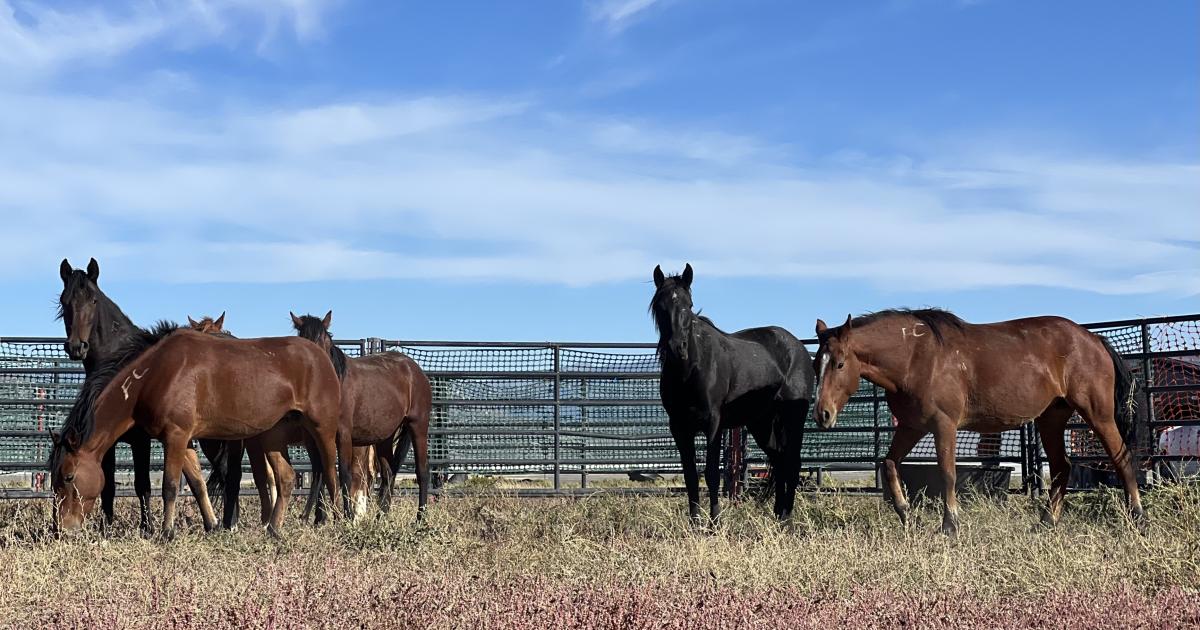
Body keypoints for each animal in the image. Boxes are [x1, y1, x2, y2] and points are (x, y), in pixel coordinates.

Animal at [48, 325, 348, 538]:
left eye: (68, 476)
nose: (62, 530)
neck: (153, 375)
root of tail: (321, 356)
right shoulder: (186, 440)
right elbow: (196, 483)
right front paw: (212, 525)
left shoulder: (176, 437)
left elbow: (170, 486)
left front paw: (167, 533)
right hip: (272, 436)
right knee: (286, 477)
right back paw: (273, 529)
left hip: (321, 429)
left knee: (330, 474)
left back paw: (335, 522)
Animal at [290, 311, 432, 522]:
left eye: (325, 341)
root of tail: (414, 369)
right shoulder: (314, 439)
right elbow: (320, 473)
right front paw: (316, 519)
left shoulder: (343, 435)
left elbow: (344, 474)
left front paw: (346, 516)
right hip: (384, 436)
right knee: (388, 473)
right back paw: (380, 518)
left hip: (418, 426)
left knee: (422, 471)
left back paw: (420, 519)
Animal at [650, 264, 815, 524]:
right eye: (659, 306)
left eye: (688, 304)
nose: (677, 348)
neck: (692, 368)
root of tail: (799, 348)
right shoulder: (679, 427)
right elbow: (690, 476)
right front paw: (694, 524)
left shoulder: (714, 424)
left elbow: (711, 474)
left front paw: (715, 523)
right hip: (762, 422)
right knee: (779, 460)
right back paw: (778, 516)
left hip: (793, 418)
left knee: (792, 464)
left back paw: (787, 519)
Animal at [812, 308, 1143, 536]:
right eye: (816, 364)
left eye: (839, 363)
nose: (822, 414)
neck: (916, 358)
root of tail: (1093, 339)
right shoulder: (911, 427)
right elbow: (889, 464)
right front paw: (908, 516)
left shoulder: (943, 425)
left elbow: (947, 474)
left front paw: (950, 525)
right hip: (1052, 418)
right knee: (1063, 467)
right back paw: (1046, 523)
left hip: (1097, 414)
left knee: (1122, 458)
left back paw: (1137, 517)